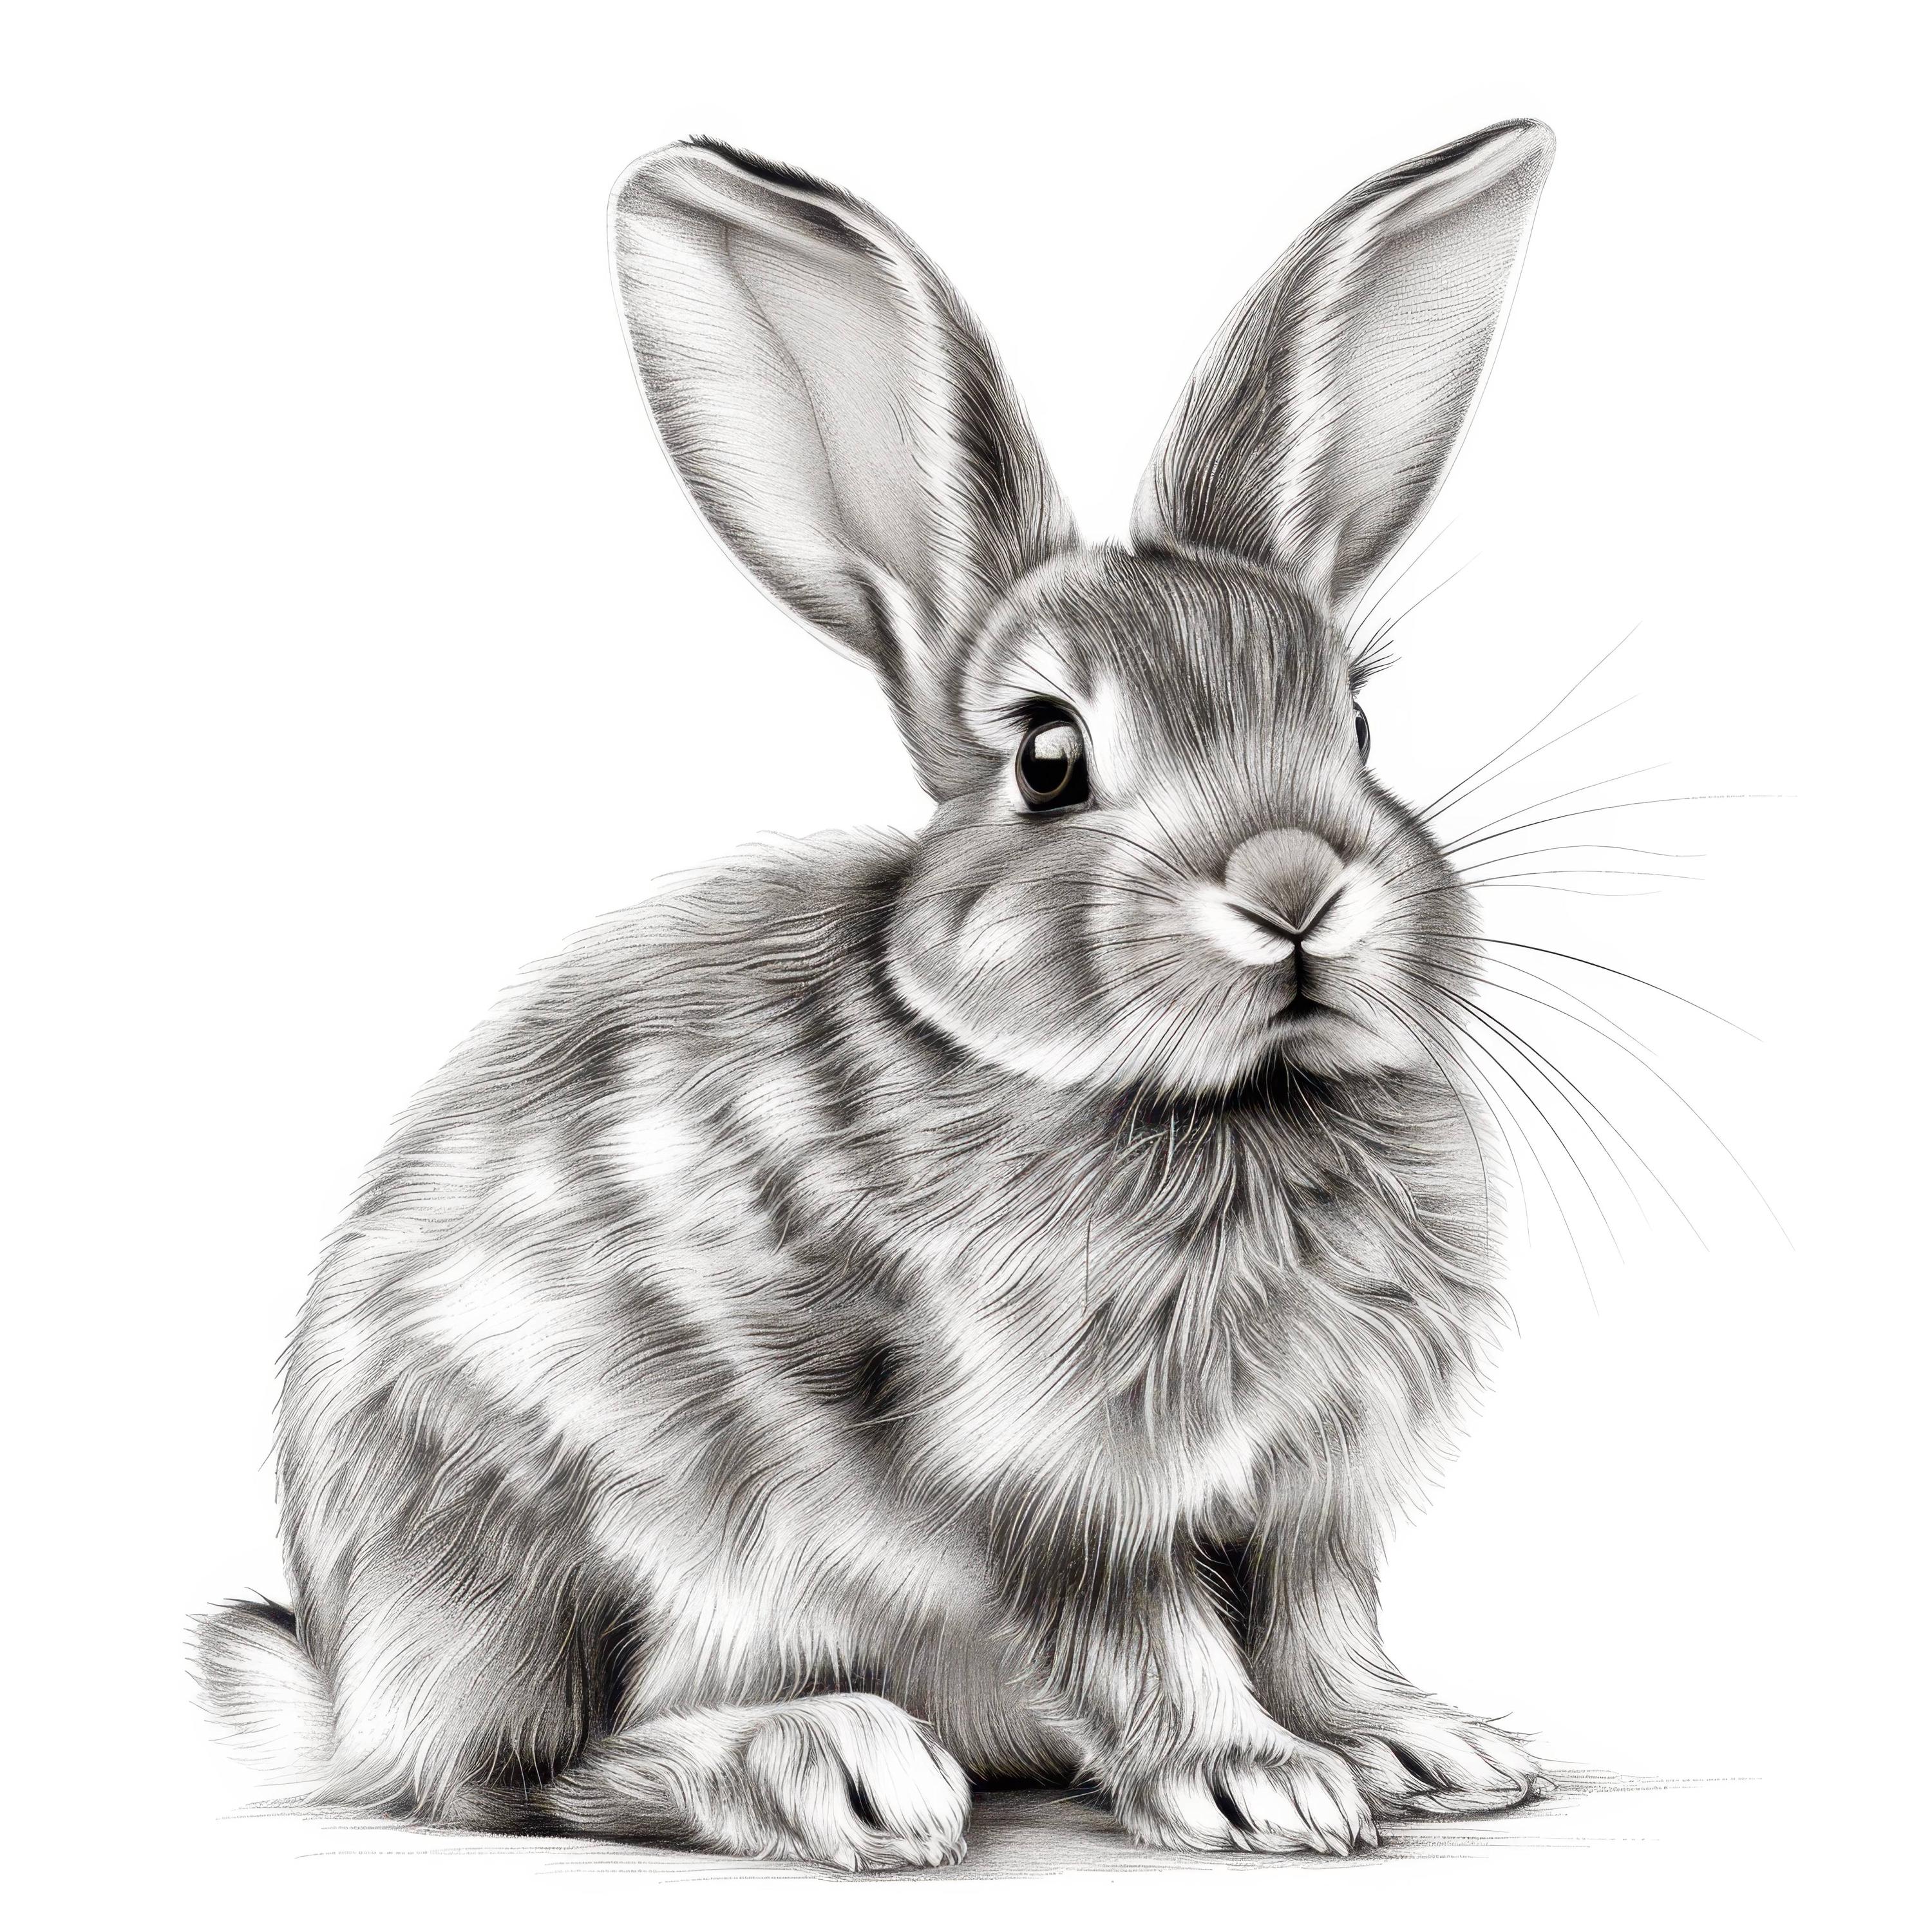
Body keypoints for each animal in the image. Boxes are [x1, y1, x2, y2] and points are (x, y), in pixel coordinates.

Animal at [194, 119, 1558, 1870]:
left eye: (1359, 721)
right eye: (1048, 758)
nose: (1294, 888)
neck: (1205, 1099)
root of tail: (344, 1681)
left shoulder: (1311, 1498)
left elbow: (1321, 1625)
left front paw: (1424, 1746)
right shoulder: (1051, 1483)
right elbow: (1151, 1635)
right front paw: (1257, 1781)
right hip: (559, 1545)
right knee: (530, 1775)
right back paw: (825, 1760)